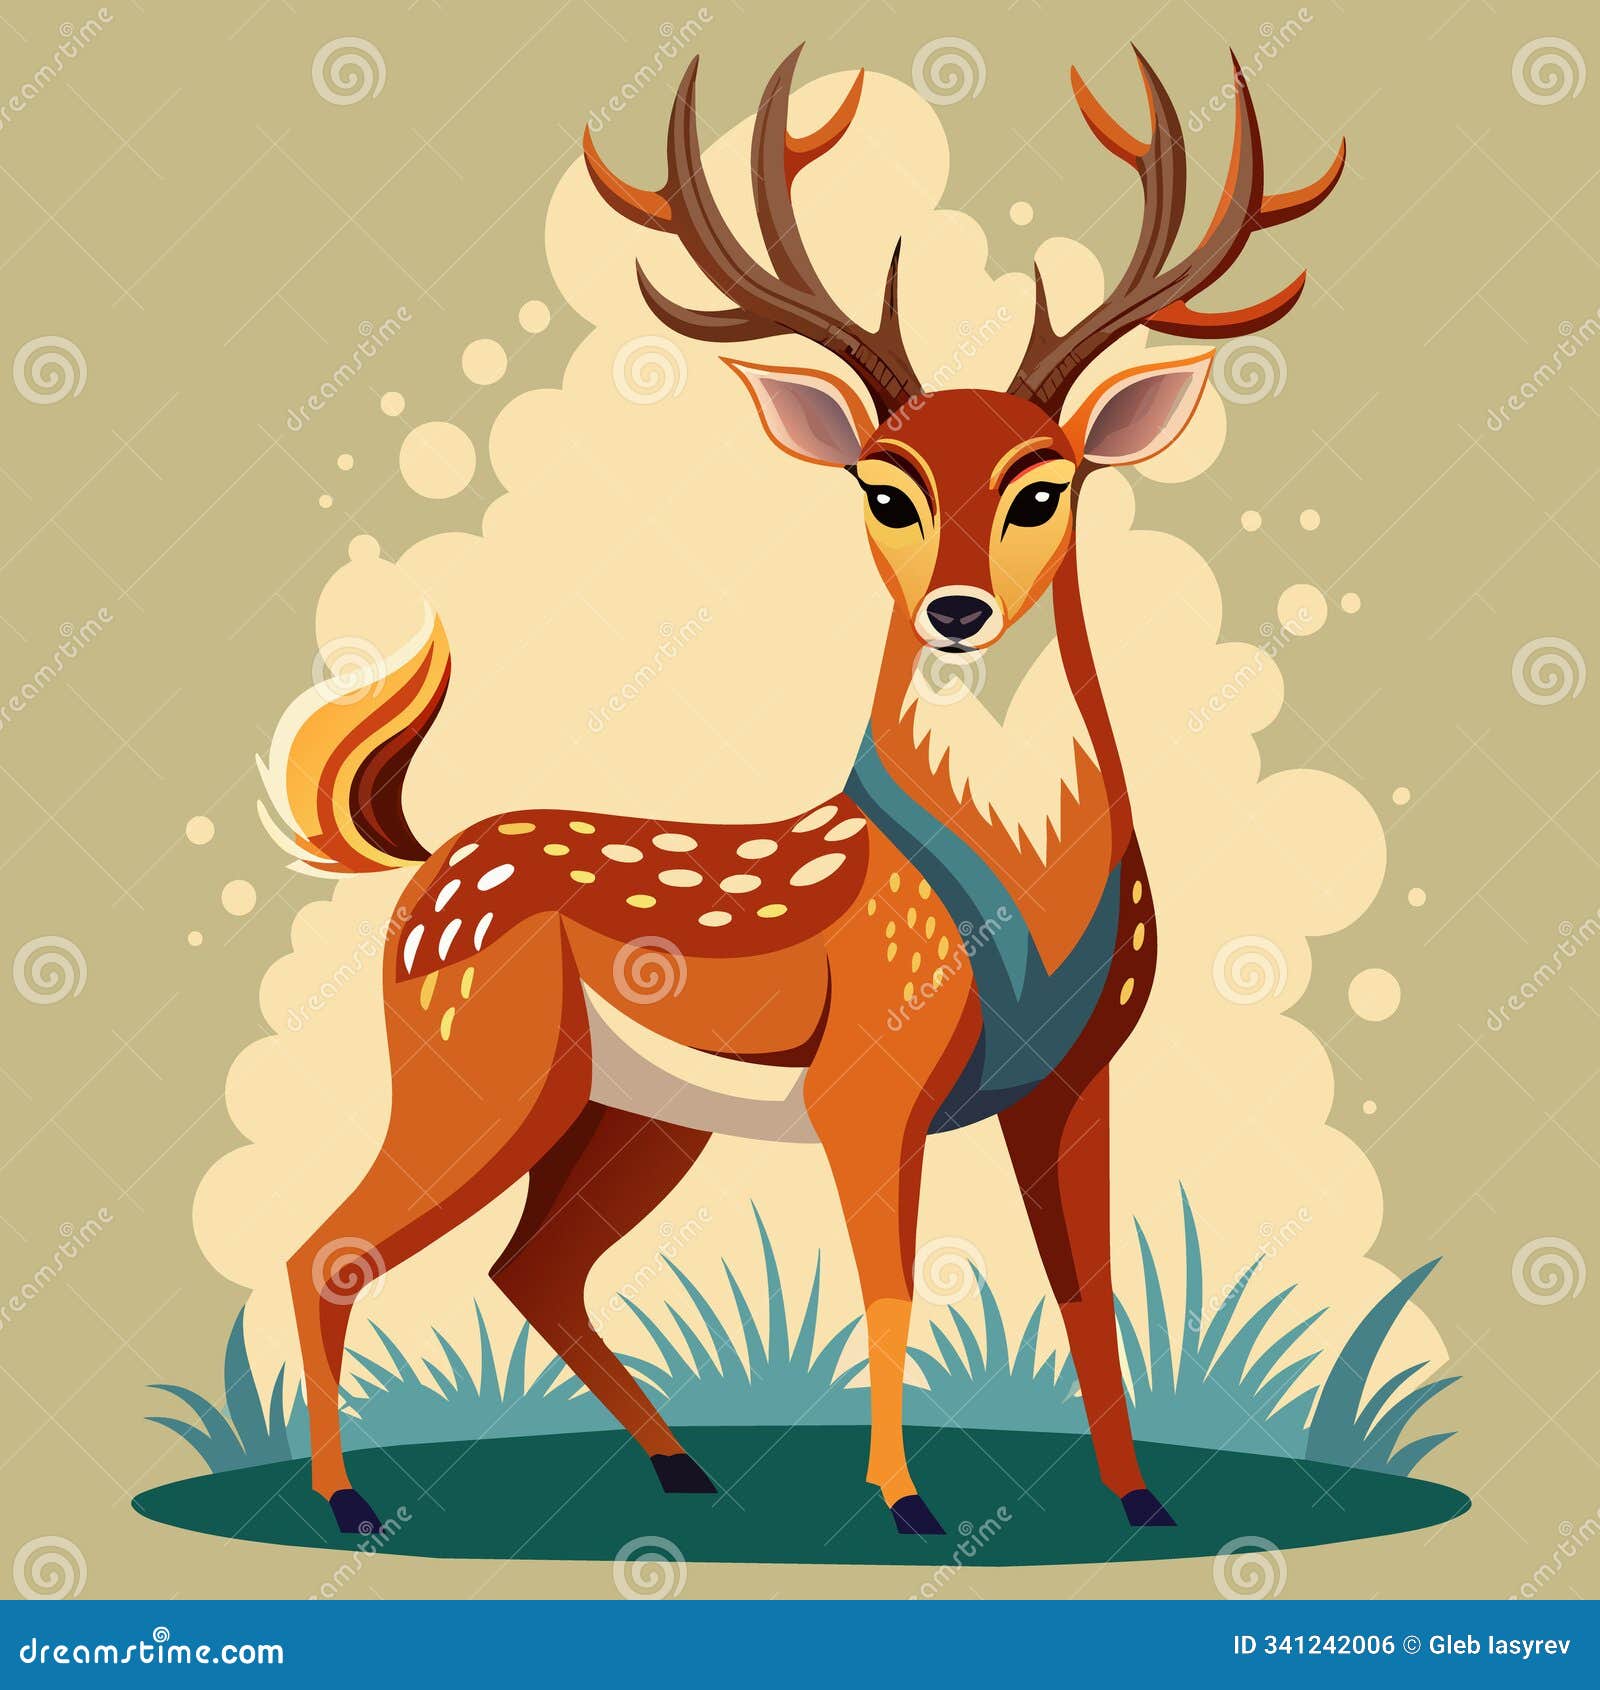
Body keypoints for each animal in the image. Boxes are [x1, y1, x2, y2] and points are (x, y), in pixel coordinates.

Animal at [267, 44, 1342, 1541]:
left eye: (1045, 487)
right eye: (884, 490)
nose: (957, 610)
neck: (1021, 874)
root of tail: (422, 865)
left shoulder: (1080, 1075)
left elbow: (1089, 1288)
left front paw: (1140, 1502)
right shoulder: (866, 1079)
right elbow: (888, 1283)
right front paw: (906, 1502)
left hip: (632, 1115)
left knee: (527, 1264)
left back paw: (678, 1464)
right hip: (473, 1064)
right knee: (329, 1245)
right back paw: (349, 1500)